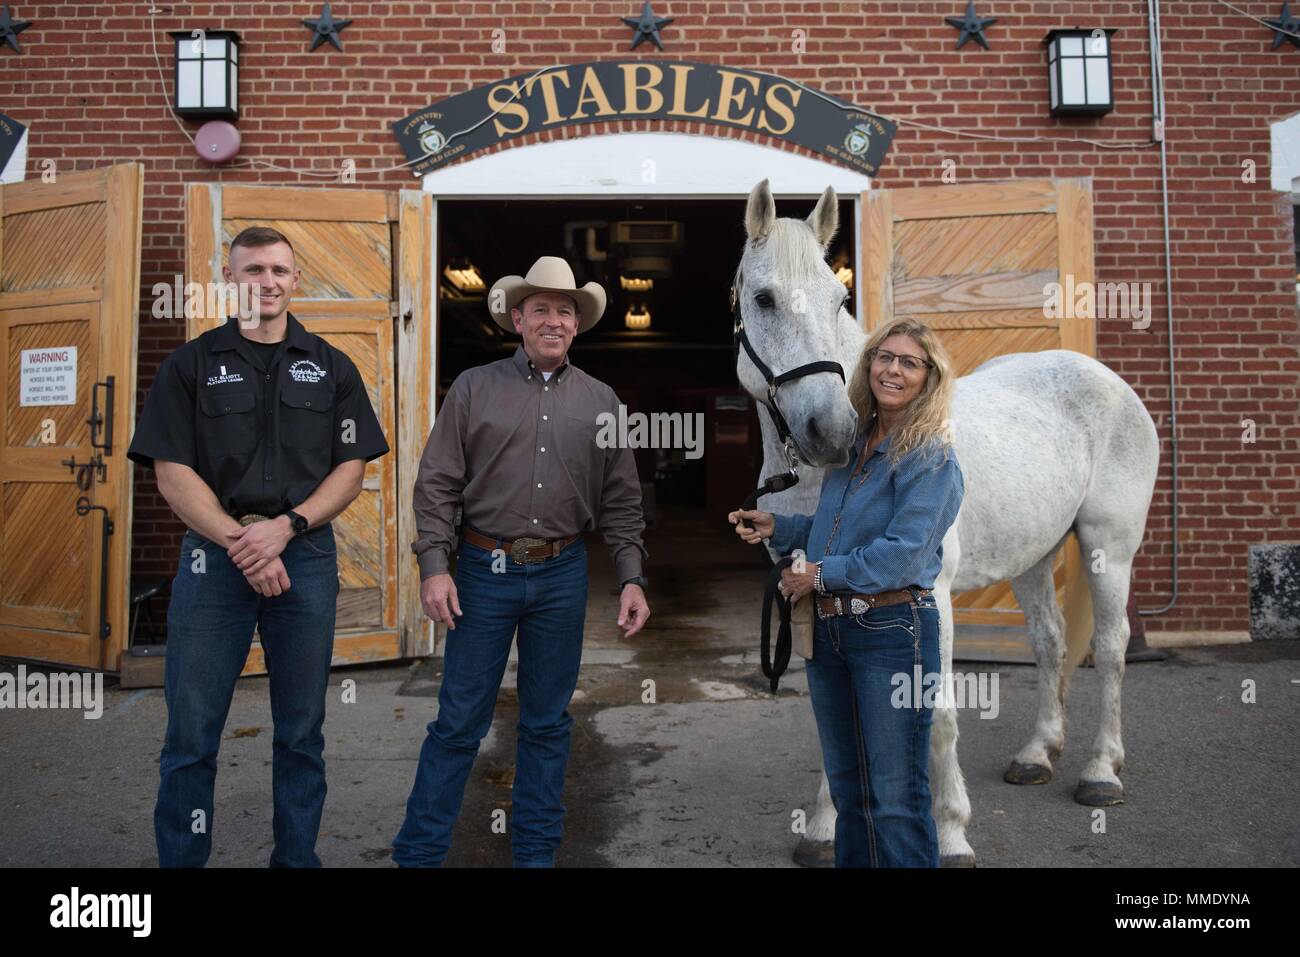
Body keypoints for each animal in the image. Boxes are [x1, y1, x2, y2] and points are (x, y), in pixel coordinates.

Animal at [732, 178, 1160, 866]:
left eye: (839, 298)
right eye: (764, 298)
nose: (832, 431)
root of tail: (1104, 378)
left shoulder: (928, 593)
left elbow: (937, 712)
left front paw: (953, 831)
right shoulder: (810, 593)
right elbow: (834, 712)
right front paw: (826, 828)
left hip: (1108, 548)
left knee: (1114, 647)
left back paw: (1101, 771)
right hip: (1034, 557)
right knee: (1049, 641)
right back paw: (1036, 755)